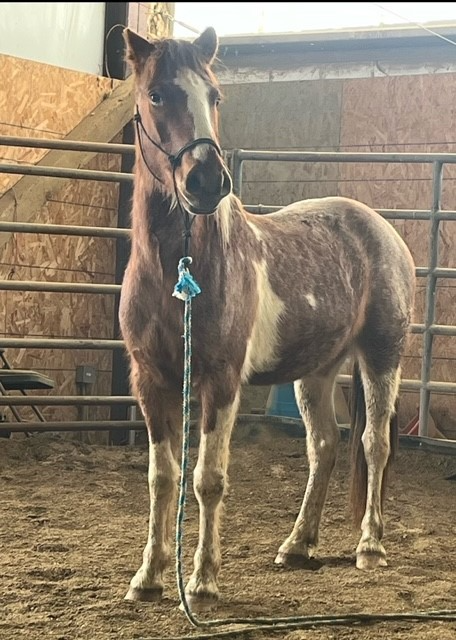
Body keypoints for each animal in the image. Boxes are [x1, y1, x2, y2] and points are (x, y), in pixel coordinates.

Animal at [119, 26, 416, 608]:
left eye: (215, 96)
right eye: (157, 94)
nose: (207, 181)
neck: (180, 272)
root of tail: (382, 229)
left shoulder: (220, 380)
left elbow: (207, 478)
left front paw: (202, 582)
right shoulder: (150, 379)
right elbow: (162, 478)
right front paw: (148, 577)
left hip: (381, 357)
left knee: (375, 444)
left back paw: (370, 546)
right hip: (316, 371)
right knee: (324, 446)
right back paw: (297, 545)